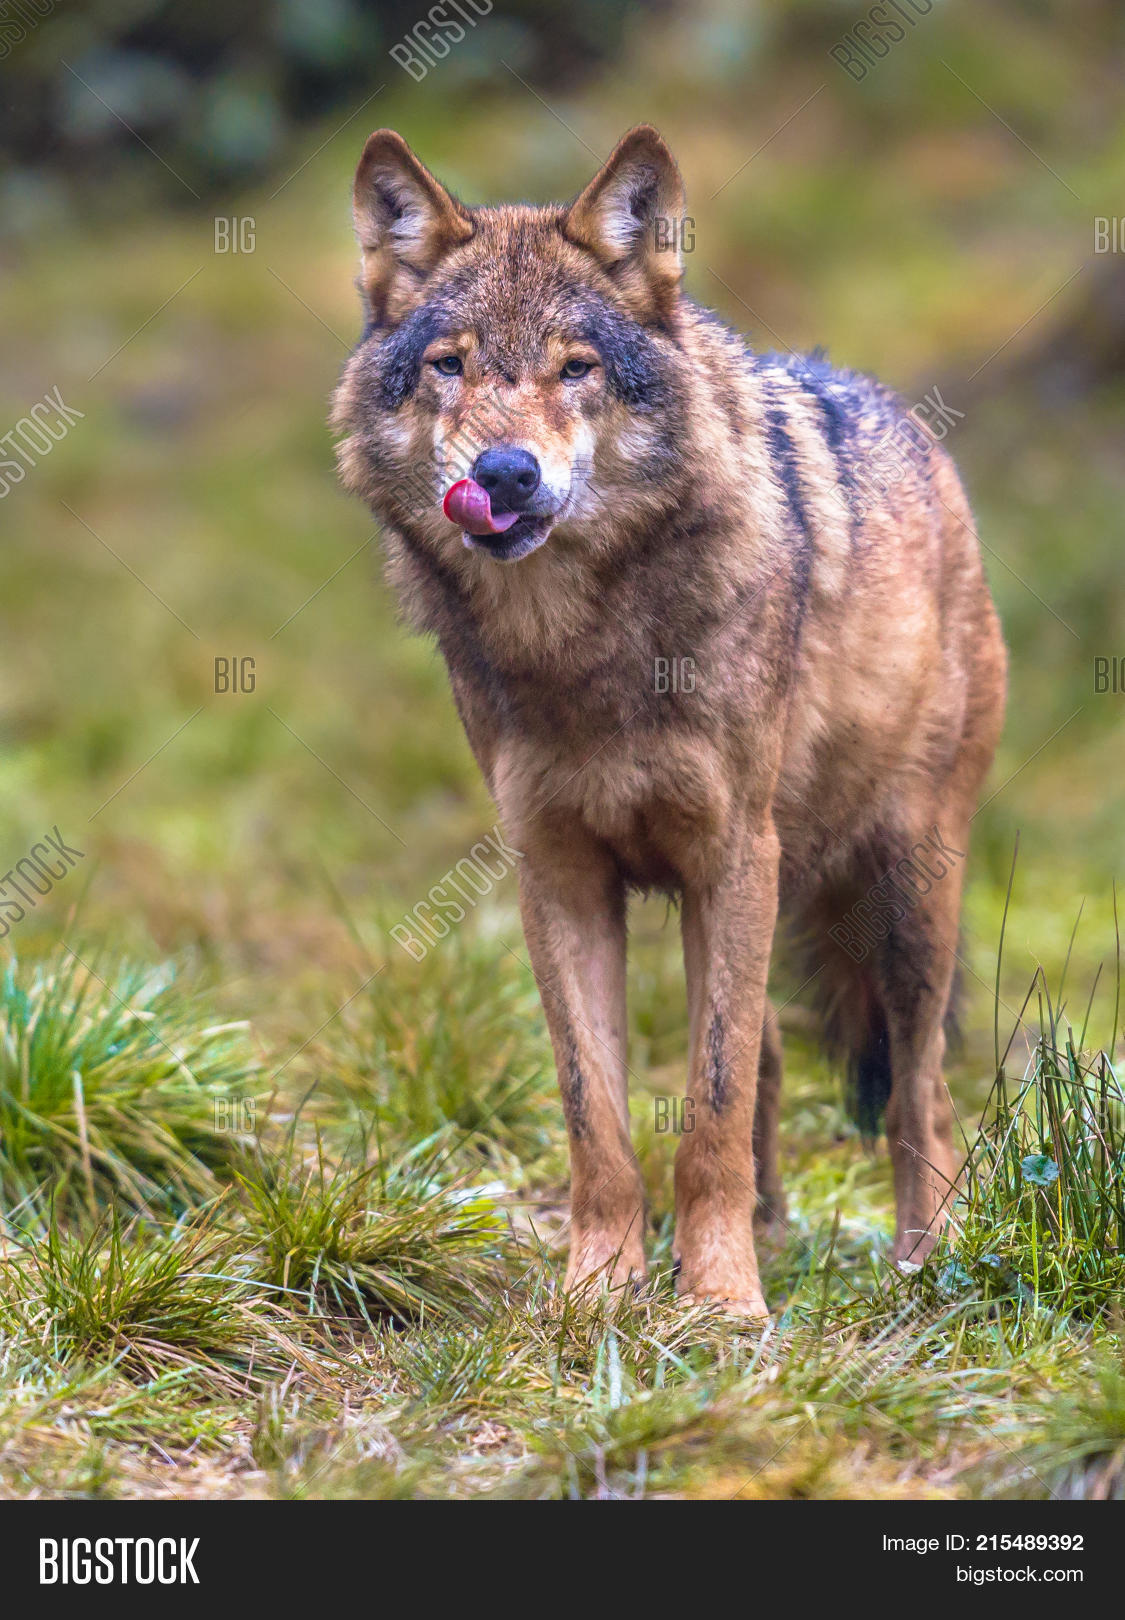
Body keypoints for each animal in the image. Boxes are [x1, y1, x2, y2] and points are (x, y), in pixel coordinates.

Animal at [331, 125, 1007, 1317]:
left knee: (917, 1092)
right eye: (451, 364)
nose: (505, 474)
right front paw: (600, 1292)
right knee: (776, 1054)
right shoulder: (557, 873)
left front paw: (724, 1304)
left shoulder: (730, 854)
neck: (582, 649)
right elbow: (597, 1114)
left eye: (576, 368)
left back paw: (923, 1266)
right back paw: (776, 1232)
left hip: (905, 894)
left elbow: (710, 1108)